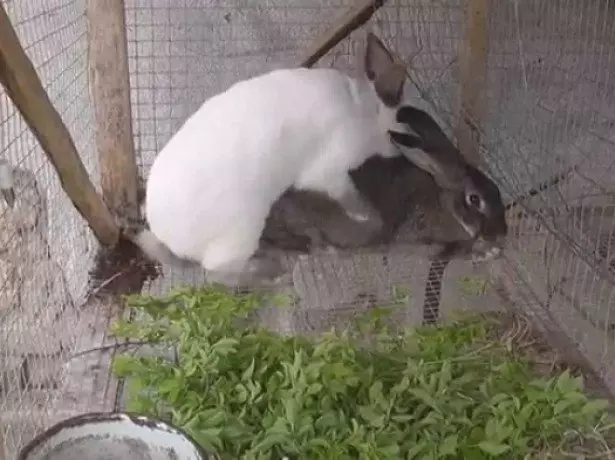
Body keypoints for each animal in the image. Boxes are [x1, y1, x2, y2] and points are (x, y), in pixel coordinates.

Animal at [129, 34, 414, 288]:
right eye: (403, 133)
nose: (401, 157)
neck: (363, 111)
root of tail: (167, 237)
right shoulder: (328, 173)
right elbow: (349, 196)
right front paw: (366, 215)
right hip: (242, 232)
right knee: (218, 273)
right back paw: (275, 275)